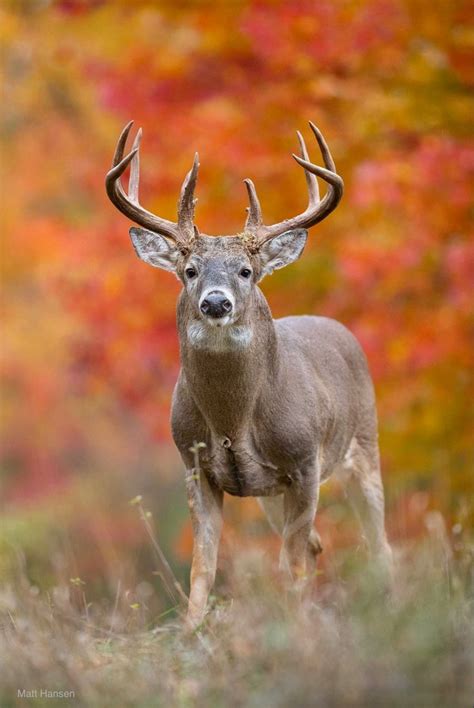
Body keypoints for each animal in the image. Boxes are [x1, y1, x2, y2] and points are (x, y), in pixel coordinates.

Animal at [105, 121, 393, 628]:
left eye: (245, 270)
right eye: (190, 270)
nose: (216, 302)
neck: (233, 421)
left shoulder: (304, 462)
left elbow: (291, 562)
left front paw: (298, 630)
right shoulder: (195, 466)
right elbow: (204, 565)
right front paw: (192, 630)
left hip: (364, 443)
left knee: (377, 543)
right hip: (271, 492)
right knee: (317, 544)